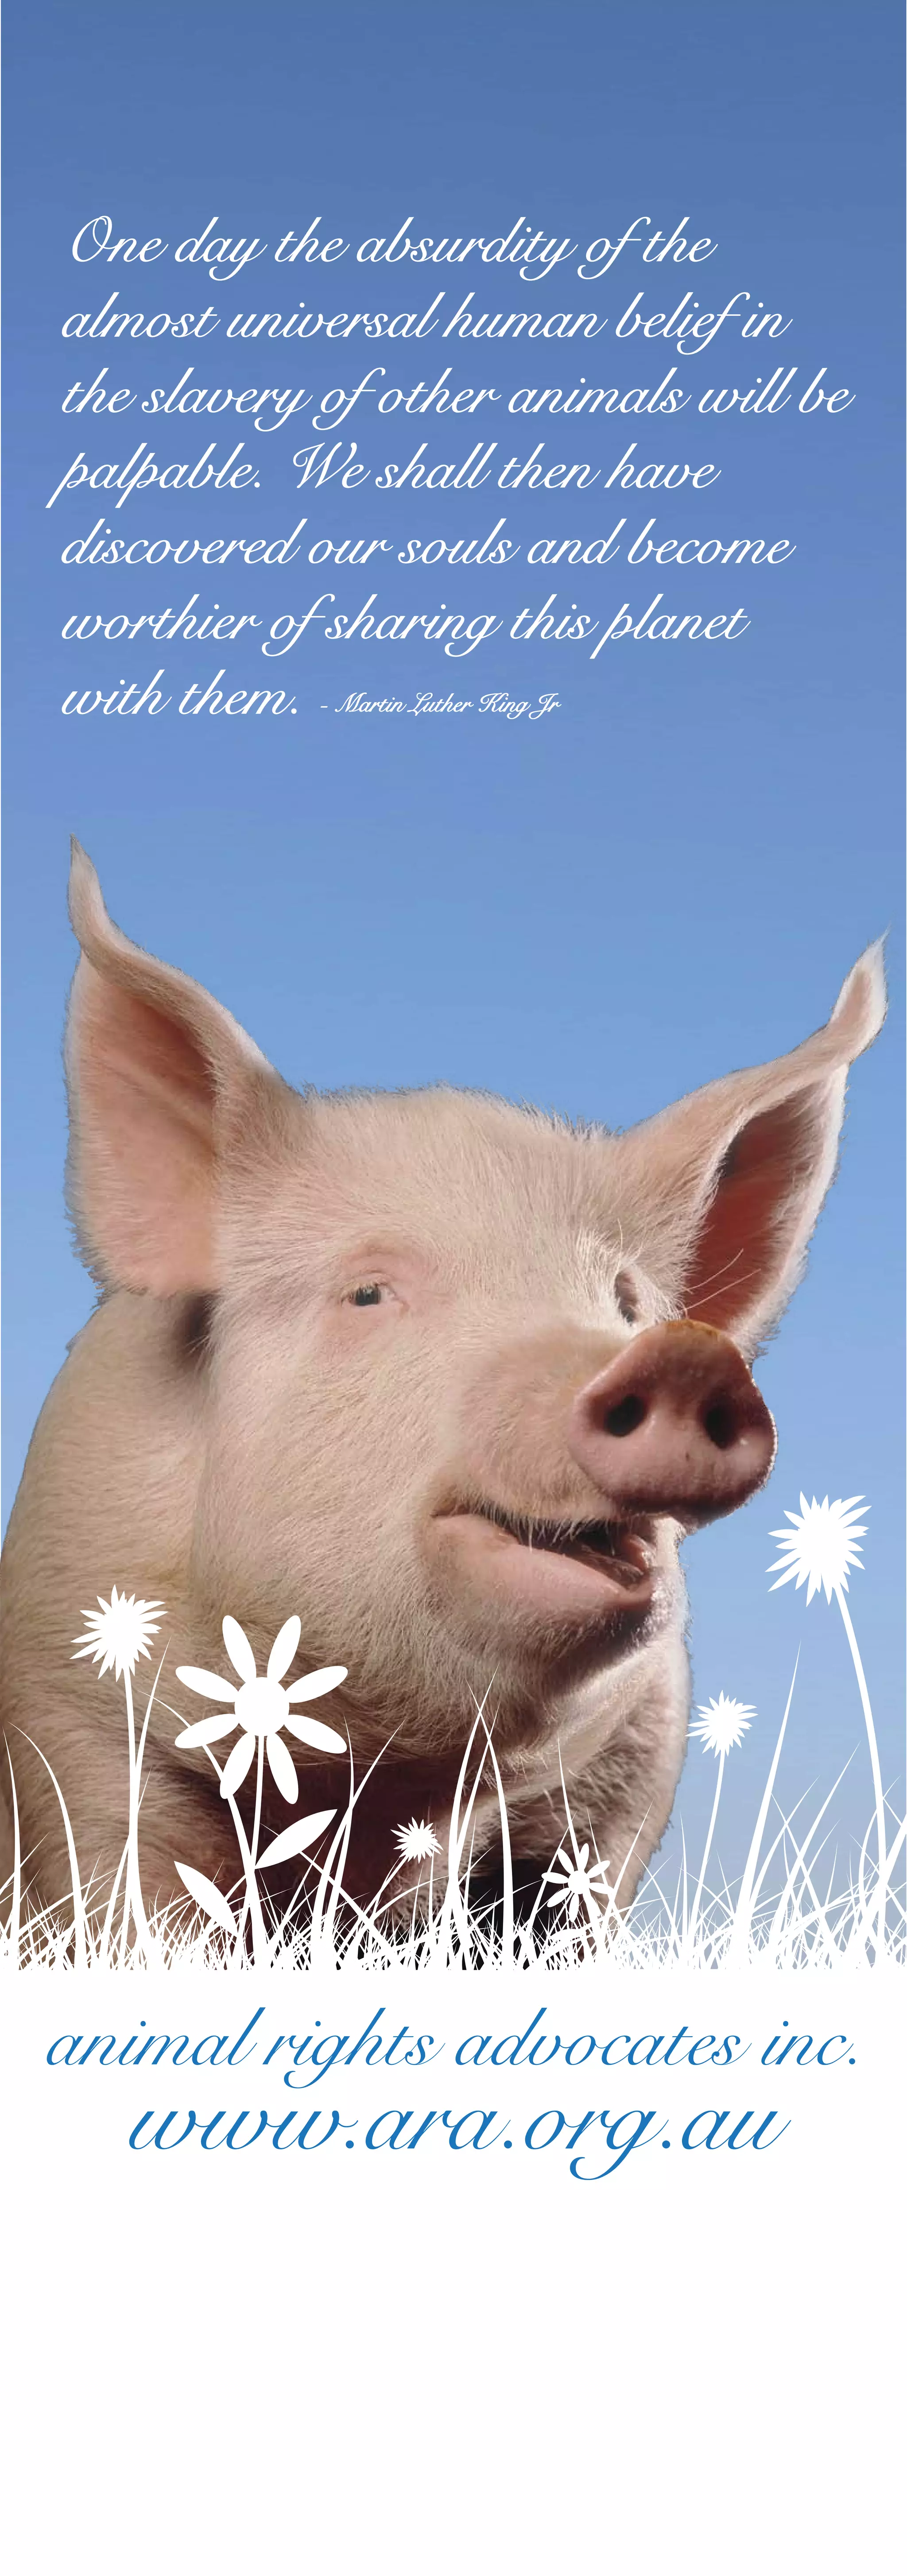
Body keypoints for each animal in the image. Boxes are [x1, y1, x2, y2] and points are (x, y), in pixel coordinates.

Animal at [0, 840, 885, 1925]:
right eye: (368, 1292)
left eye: (625, 1301)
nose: (681, 1356)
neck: (383, 1784)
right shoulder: (74, 1701)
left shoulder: (622, 1779)